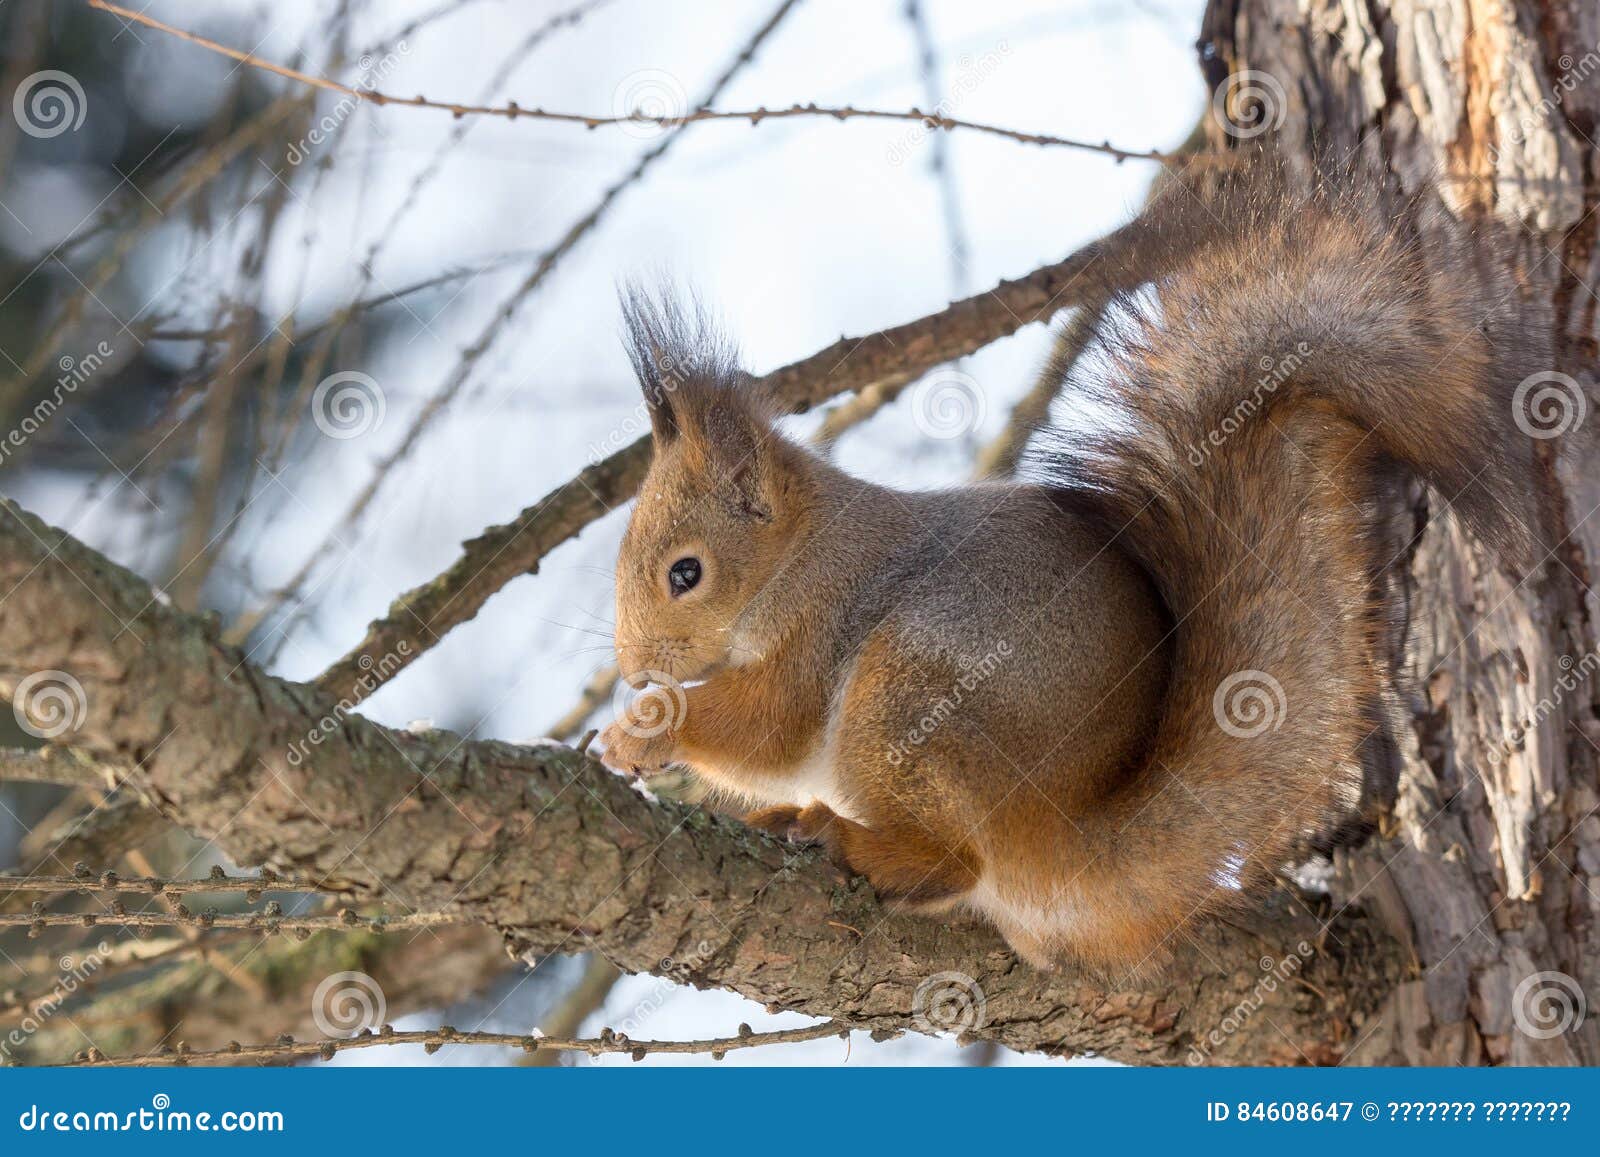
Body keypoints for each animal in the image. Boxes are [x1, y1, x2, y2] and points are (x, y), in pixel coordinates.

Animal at [597, 163, 1545, 971]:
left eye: (685, 573)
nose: (636, 667)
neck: (795, 554)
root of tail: (1062, 837)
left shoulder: (825, 615)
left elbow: (770, 724)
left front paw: (645, 728)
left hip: (906, 699)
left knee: (952, 861)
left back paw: (851, 839)